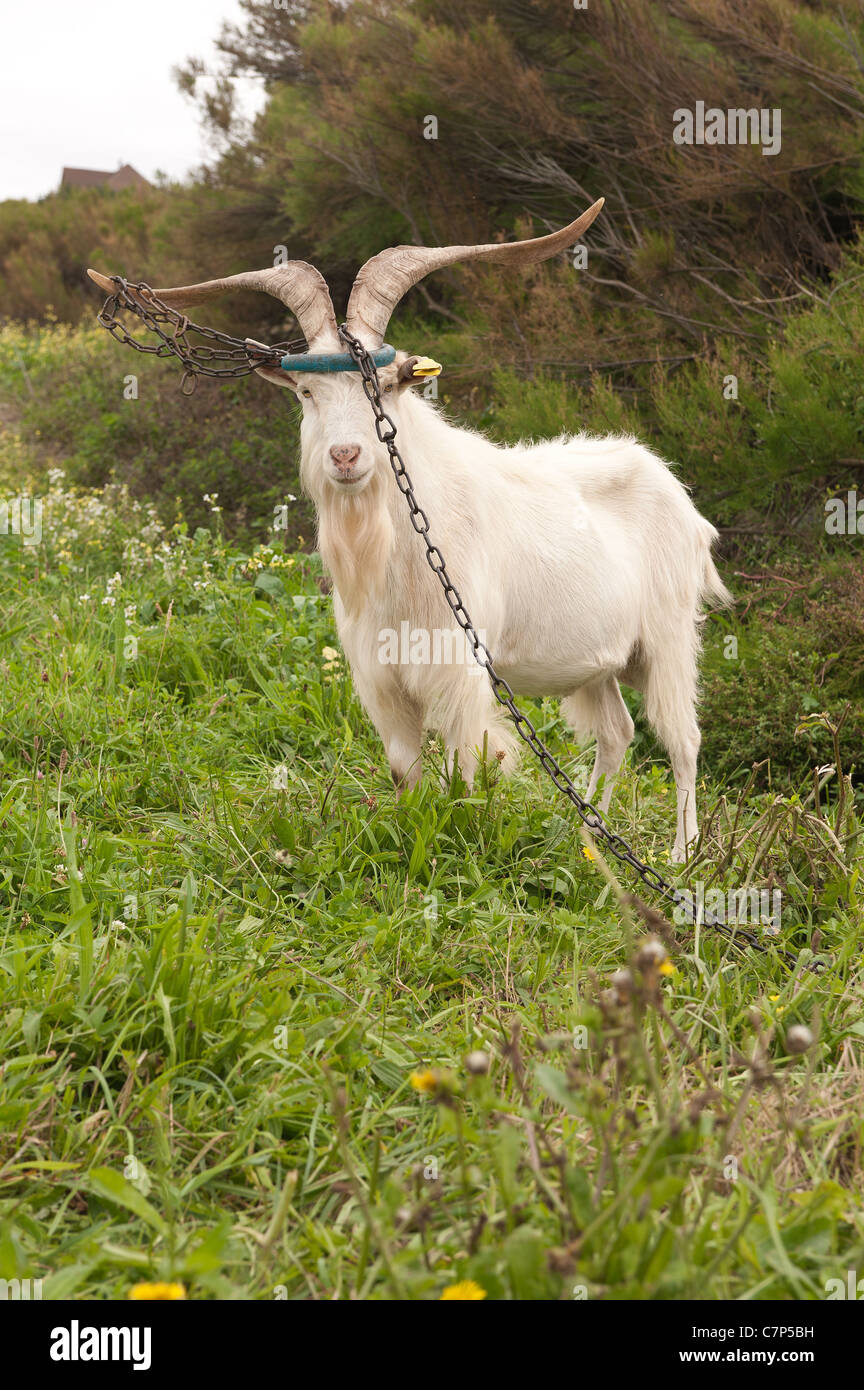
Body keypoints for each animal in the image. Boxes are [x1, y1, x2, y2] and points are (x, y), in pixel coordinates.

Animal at [89, 199, 729, 860]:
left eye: (385, 385)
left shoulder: (460, 675)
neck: (402, 556)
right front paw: (411, 833)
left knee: (682, 740)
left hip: (669, 639)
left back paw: (682, 855)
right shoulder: (384, 682)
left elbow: (464, 773)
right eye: (307, 391)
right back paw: (586, 840)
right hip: (594, 663)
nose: (345, 456)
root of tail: (674, 490)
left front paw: (465, 842)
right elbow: (405, 773)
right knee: (617, 733)